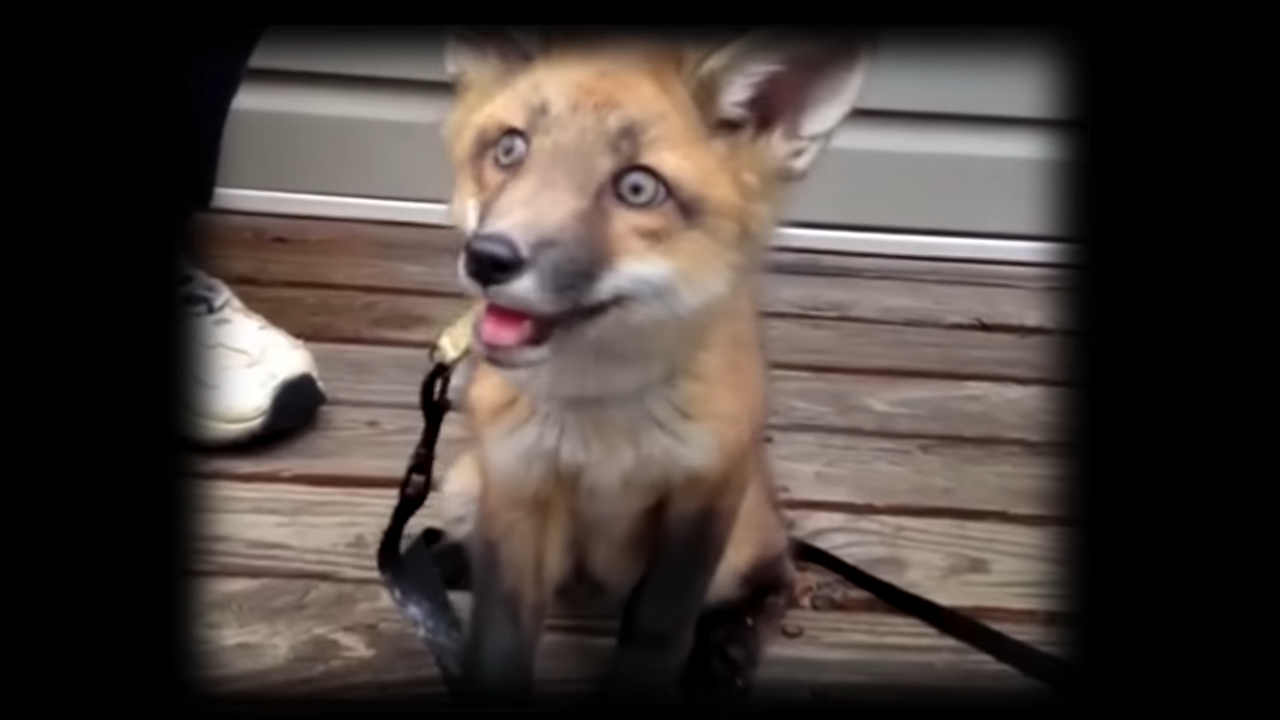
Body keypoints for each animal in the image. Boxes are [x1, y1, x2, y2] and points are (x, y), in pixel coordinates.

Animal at [424, 28, 874, 701]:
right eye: (509, 149)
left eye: (638, 188)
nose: (488, 258)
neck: (602, 425)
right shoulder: (519, 485)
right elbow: (498, 642)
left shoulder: (702, 498)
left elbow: (658, 628)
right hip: (465, 483)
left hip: (739, 543)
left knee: (780, 574)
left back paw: (730, 648)